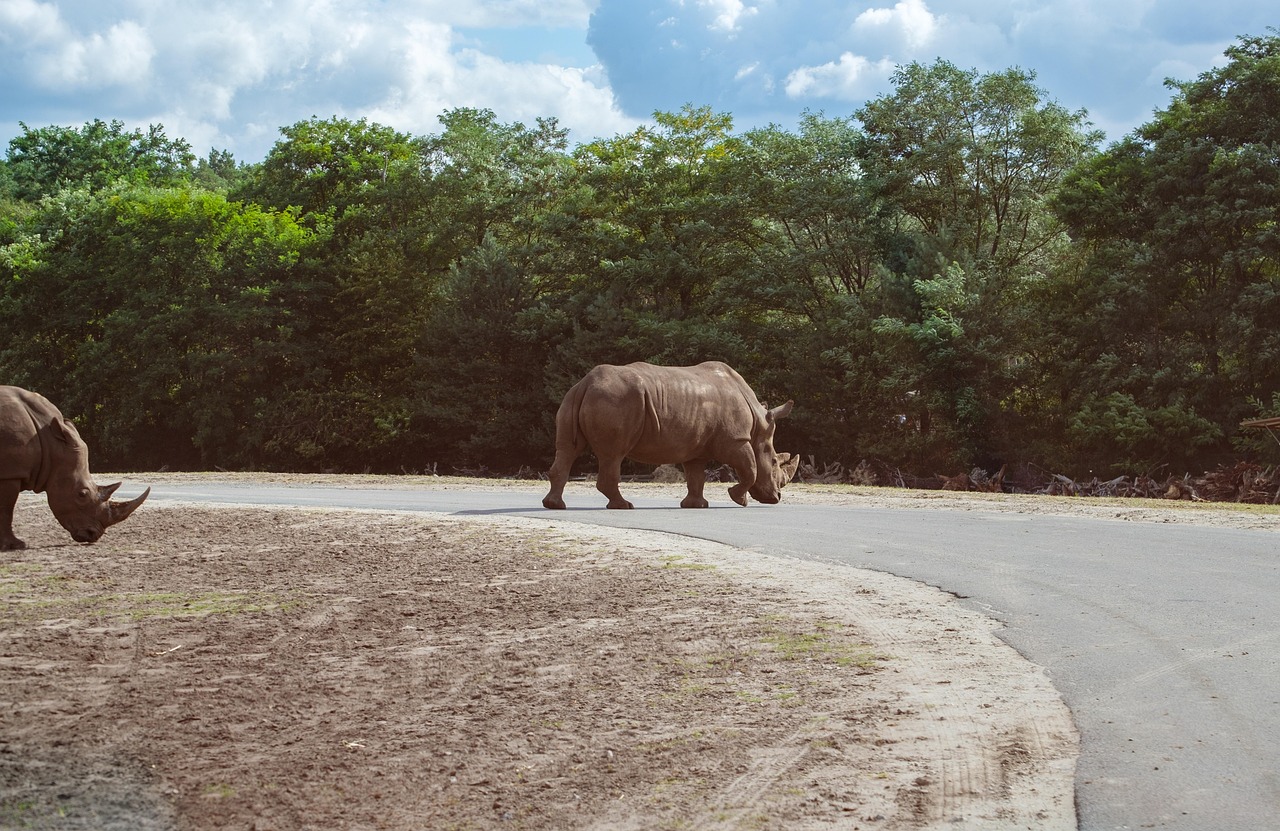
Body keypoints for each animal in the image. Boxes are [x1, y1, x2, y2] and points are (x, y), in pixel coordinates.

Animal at [0, 386, 149, 550]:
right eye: (82, 494)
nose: (92, 535)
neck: (50, 444)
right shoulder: (11, 473)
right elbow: (7, 508)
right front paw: (15, 545)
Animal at [542, 361, 800, 510]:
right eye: (774, 461)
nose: (776, 497)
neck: (758, 426)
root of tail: (586, 382)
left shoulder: (697, 447)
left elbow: (696, 476)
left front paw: (696, 506)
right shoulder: (736, 440)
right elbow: (750, 468)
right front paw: (739, 499)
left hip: (573, 398)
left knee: (567, 450)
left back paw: (555, 506)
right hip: (616, 400)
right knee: (613, 455)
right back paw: (624, 506)